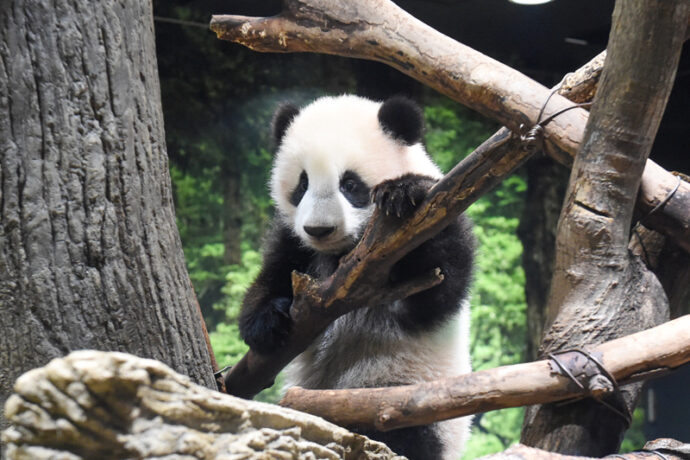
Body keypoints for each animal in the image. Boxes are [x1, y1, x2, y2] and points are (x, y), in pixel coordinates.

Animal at [239, 94, 475, 460]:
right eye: (303, 184)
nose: (319, 229)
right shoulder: (295, 242)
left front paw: (403, 193)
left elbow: (437, 286)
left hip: (402, 395)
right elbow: (273, 275)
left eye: (350, 185)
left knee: (403, 434)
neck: (345, 252)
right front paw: (268, 322)